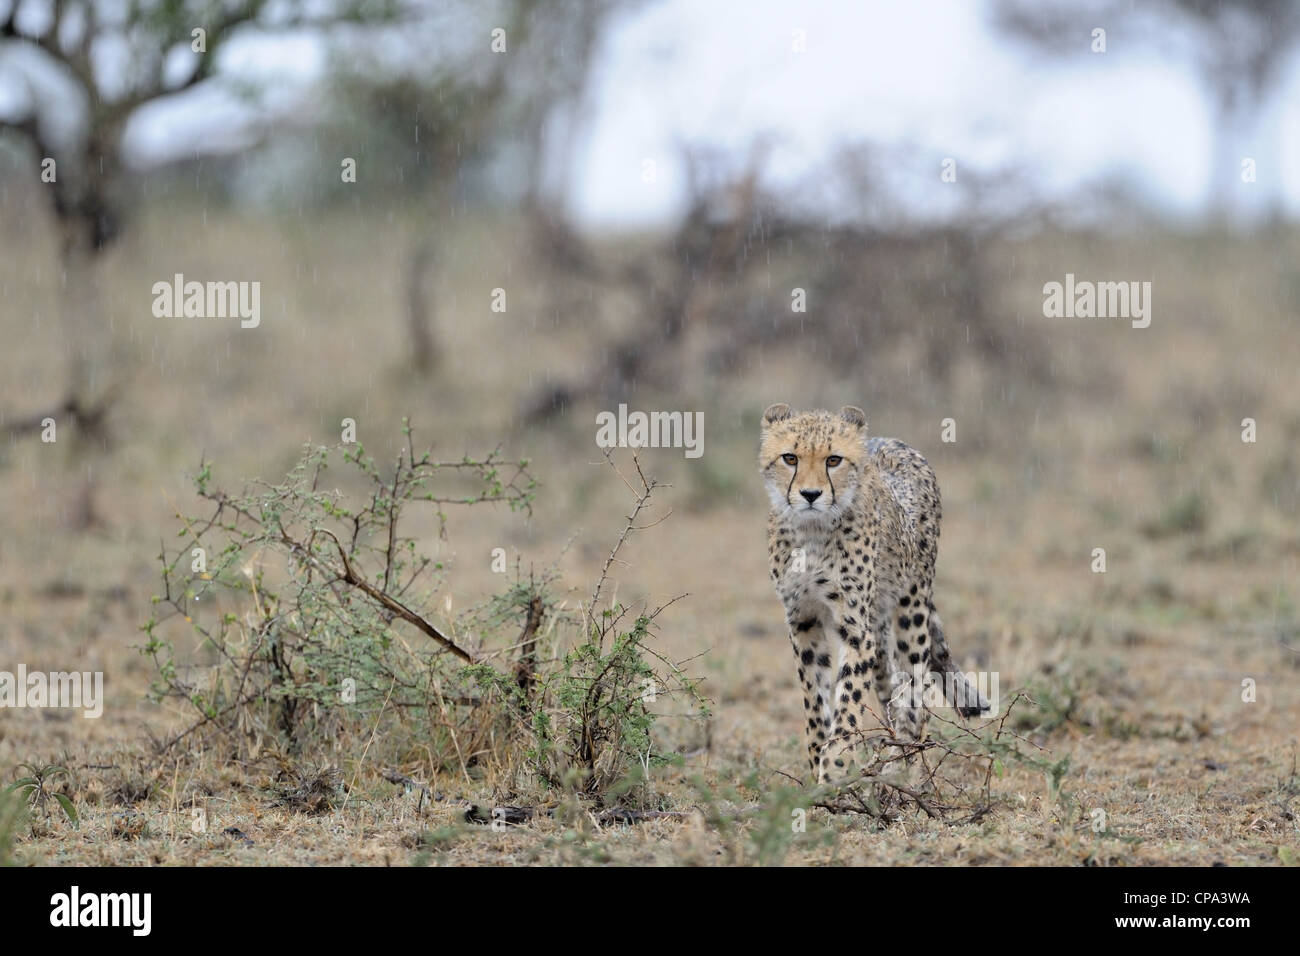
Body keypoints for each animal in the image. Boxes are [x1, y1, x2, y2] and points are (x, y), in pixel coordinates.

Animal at [760, 403, 990, 785]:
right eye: (790, 458)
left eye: (833, 460)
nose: (810, 495)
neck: (812, 531)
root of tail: (893, 441)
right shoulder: (803, 620)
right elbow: (815, 701)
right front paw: (818, 763)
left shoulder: (855, 628)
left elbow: (849, 698)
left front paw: (835, 767)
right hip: (880, 630)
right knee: (891, 689)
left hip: (912, 607)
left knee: (916, 699)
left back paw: (903, 771)